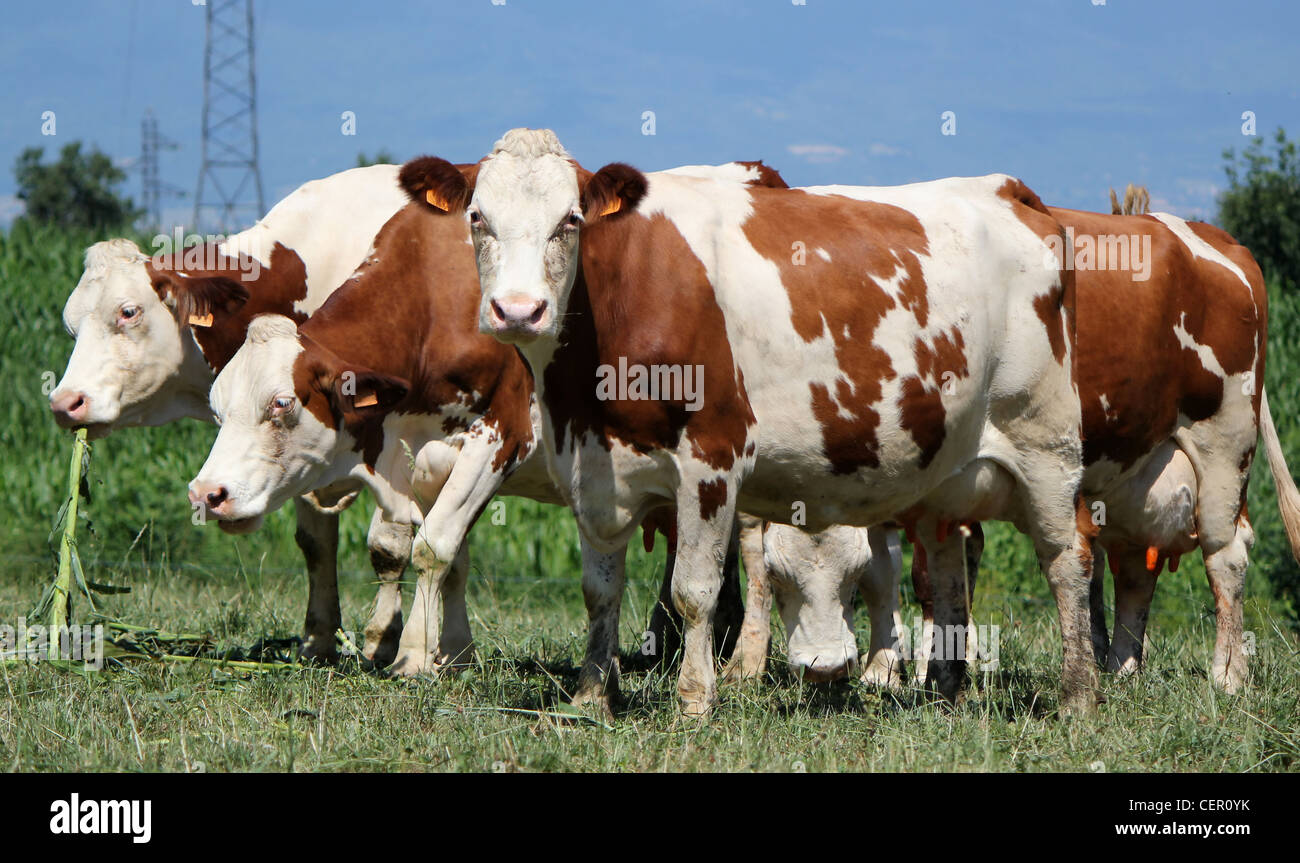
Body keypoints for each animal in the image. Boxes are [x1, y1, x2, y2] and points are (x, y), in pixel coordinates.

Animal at [47, 164, 419, 665]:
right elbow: (317, 544)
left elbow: (389, 543)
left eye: (128, 312)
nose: (64, 402)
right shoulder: (300, 453)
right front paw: (318, 640)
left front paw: (383, 641)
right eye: (71, 325)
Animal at [400, 128, 1097, 716]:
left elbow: (695, 588)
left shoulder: (712, 457)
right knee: (948, 567)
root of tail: (1006, 189)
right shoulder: (592, 466)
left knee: (1067, 560)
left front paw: (693, 701)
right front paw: (592, 696)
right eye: (477, 218)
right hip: (946, 476)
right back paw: (944, 693)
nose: (519, 311)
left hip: (1046, 448)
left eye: (569, 221)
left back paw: (1078, 695)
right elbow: (599, 590)